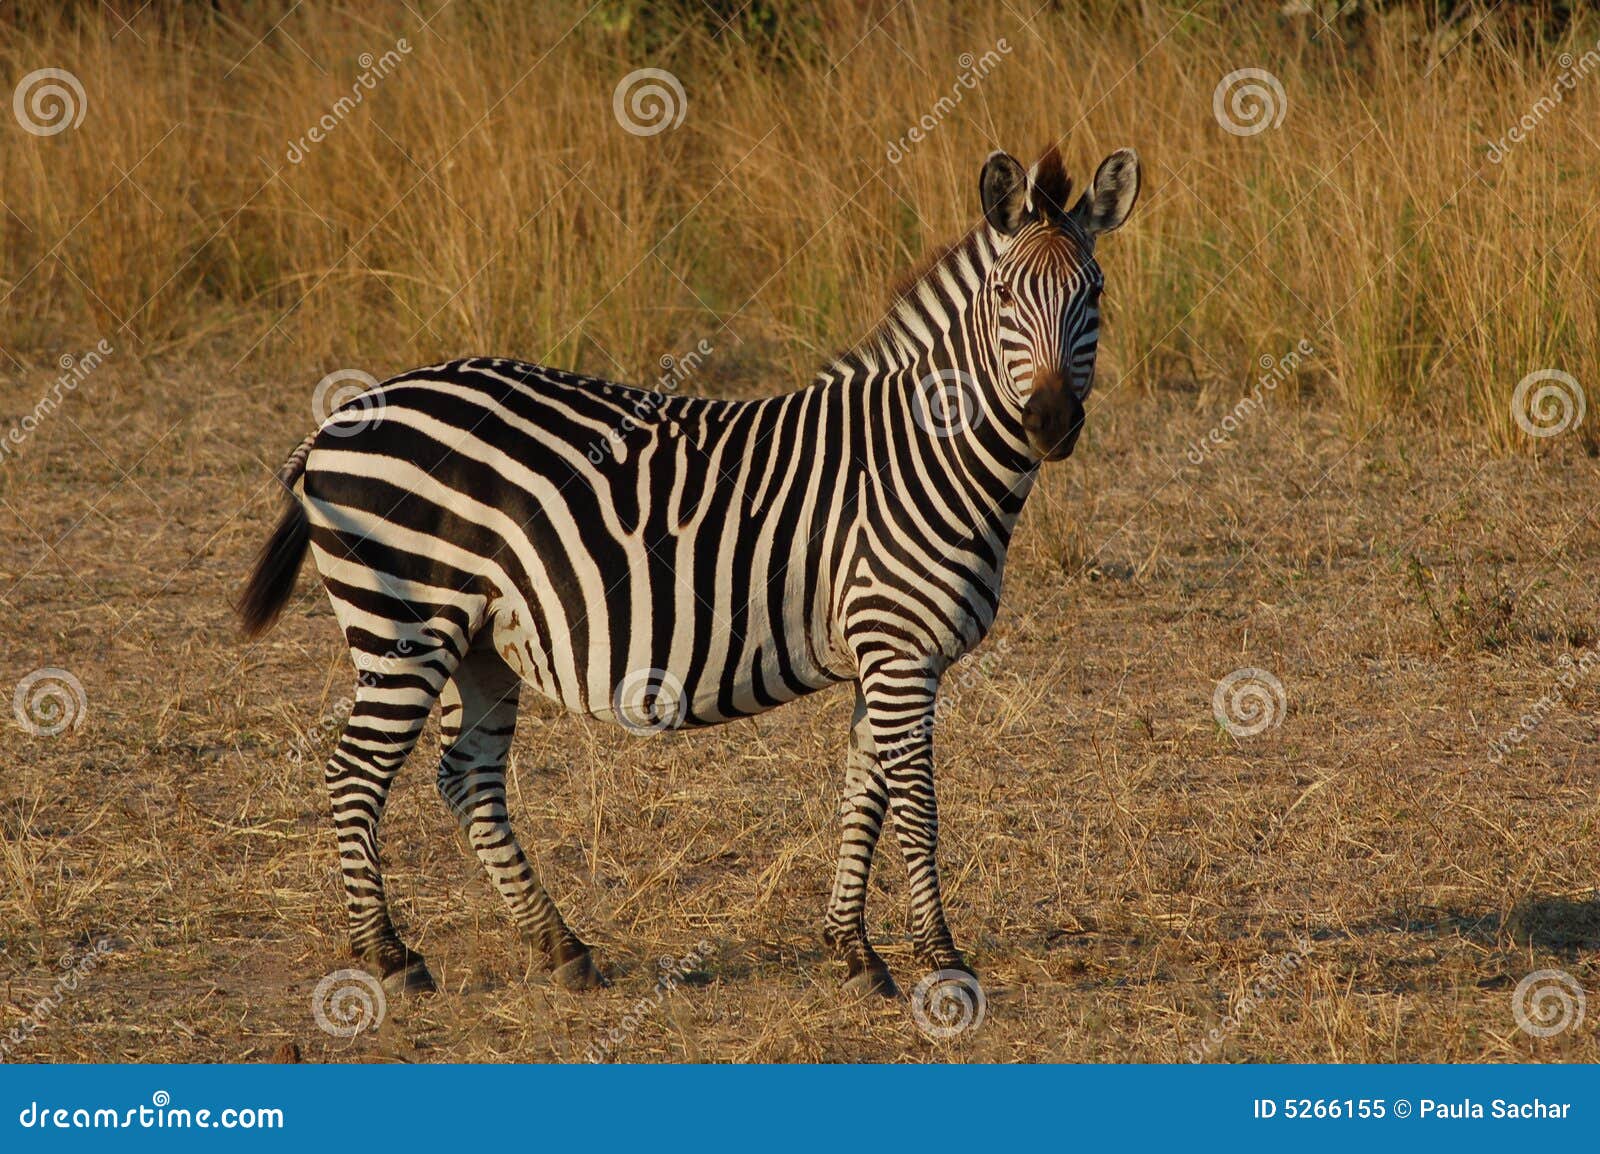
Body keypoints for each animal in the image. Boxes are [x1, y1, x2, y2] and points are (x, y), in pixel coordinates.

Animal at [238, 143, 1140, 998]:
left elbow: (866, 794)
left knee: (468, 778)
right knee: (356, 773)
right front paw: (942, 962)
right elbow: (917, 803)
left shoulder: (880, 655)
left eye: (1094, 294)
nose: (1052, 422)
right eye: (1005, 298)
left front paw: (853, 952)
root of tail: (341, 417)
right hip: (404, 624)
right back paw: (388, 956)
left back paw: (560, 947)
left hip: (480, 640)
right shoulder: (901, 650)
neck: (925, 456)